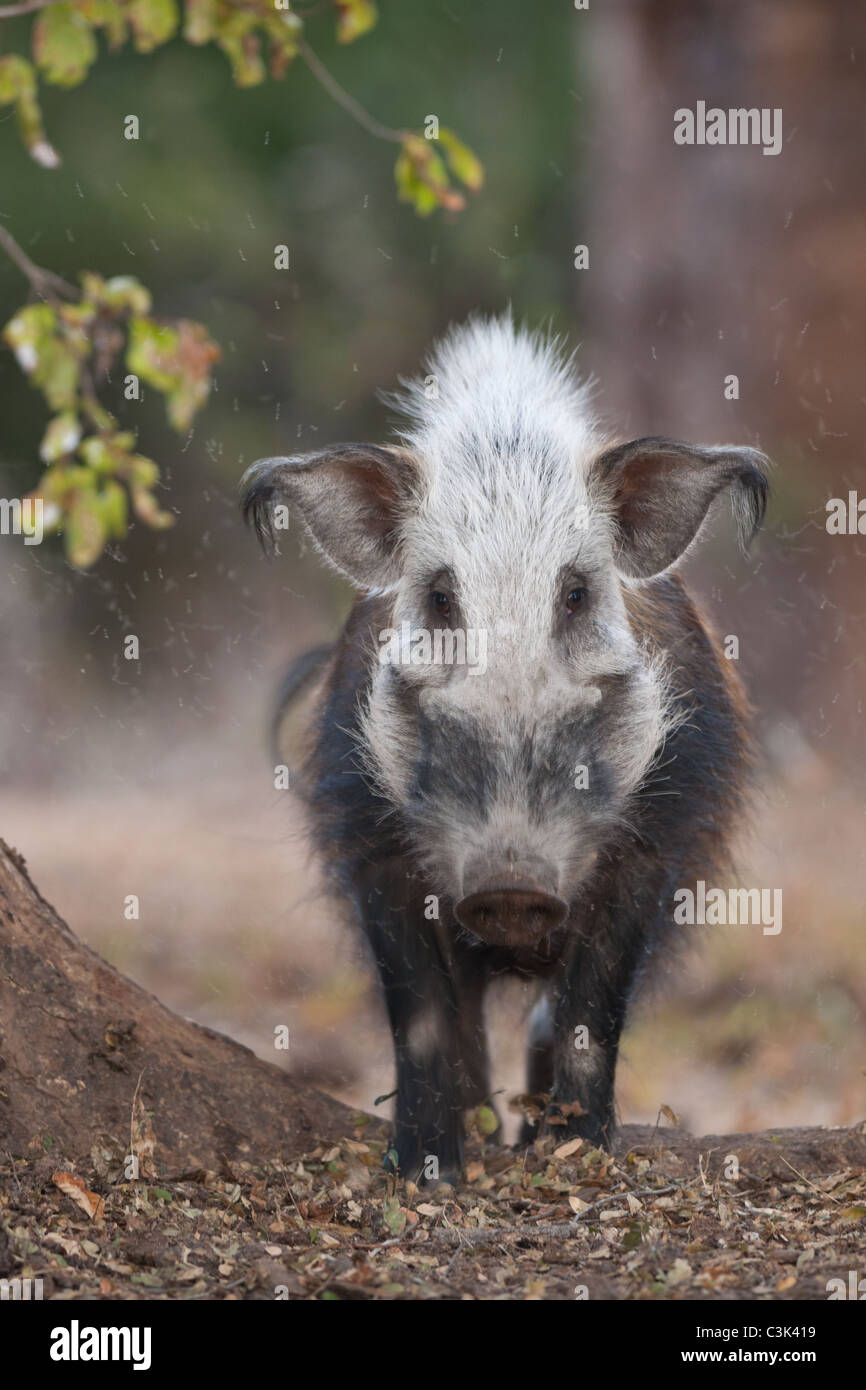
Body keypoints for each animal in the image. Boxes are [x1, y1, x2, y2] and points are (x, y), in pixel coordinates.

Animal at [242, 315, 768, 1182]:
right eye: (440, 596)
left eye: (577, 593)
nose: (511, 882)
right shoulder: (368, 836)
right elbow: (423, 1016)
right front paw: (430, 1171)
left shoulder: (657, 840)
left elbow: (592, 1009)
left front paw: (574, 1157)